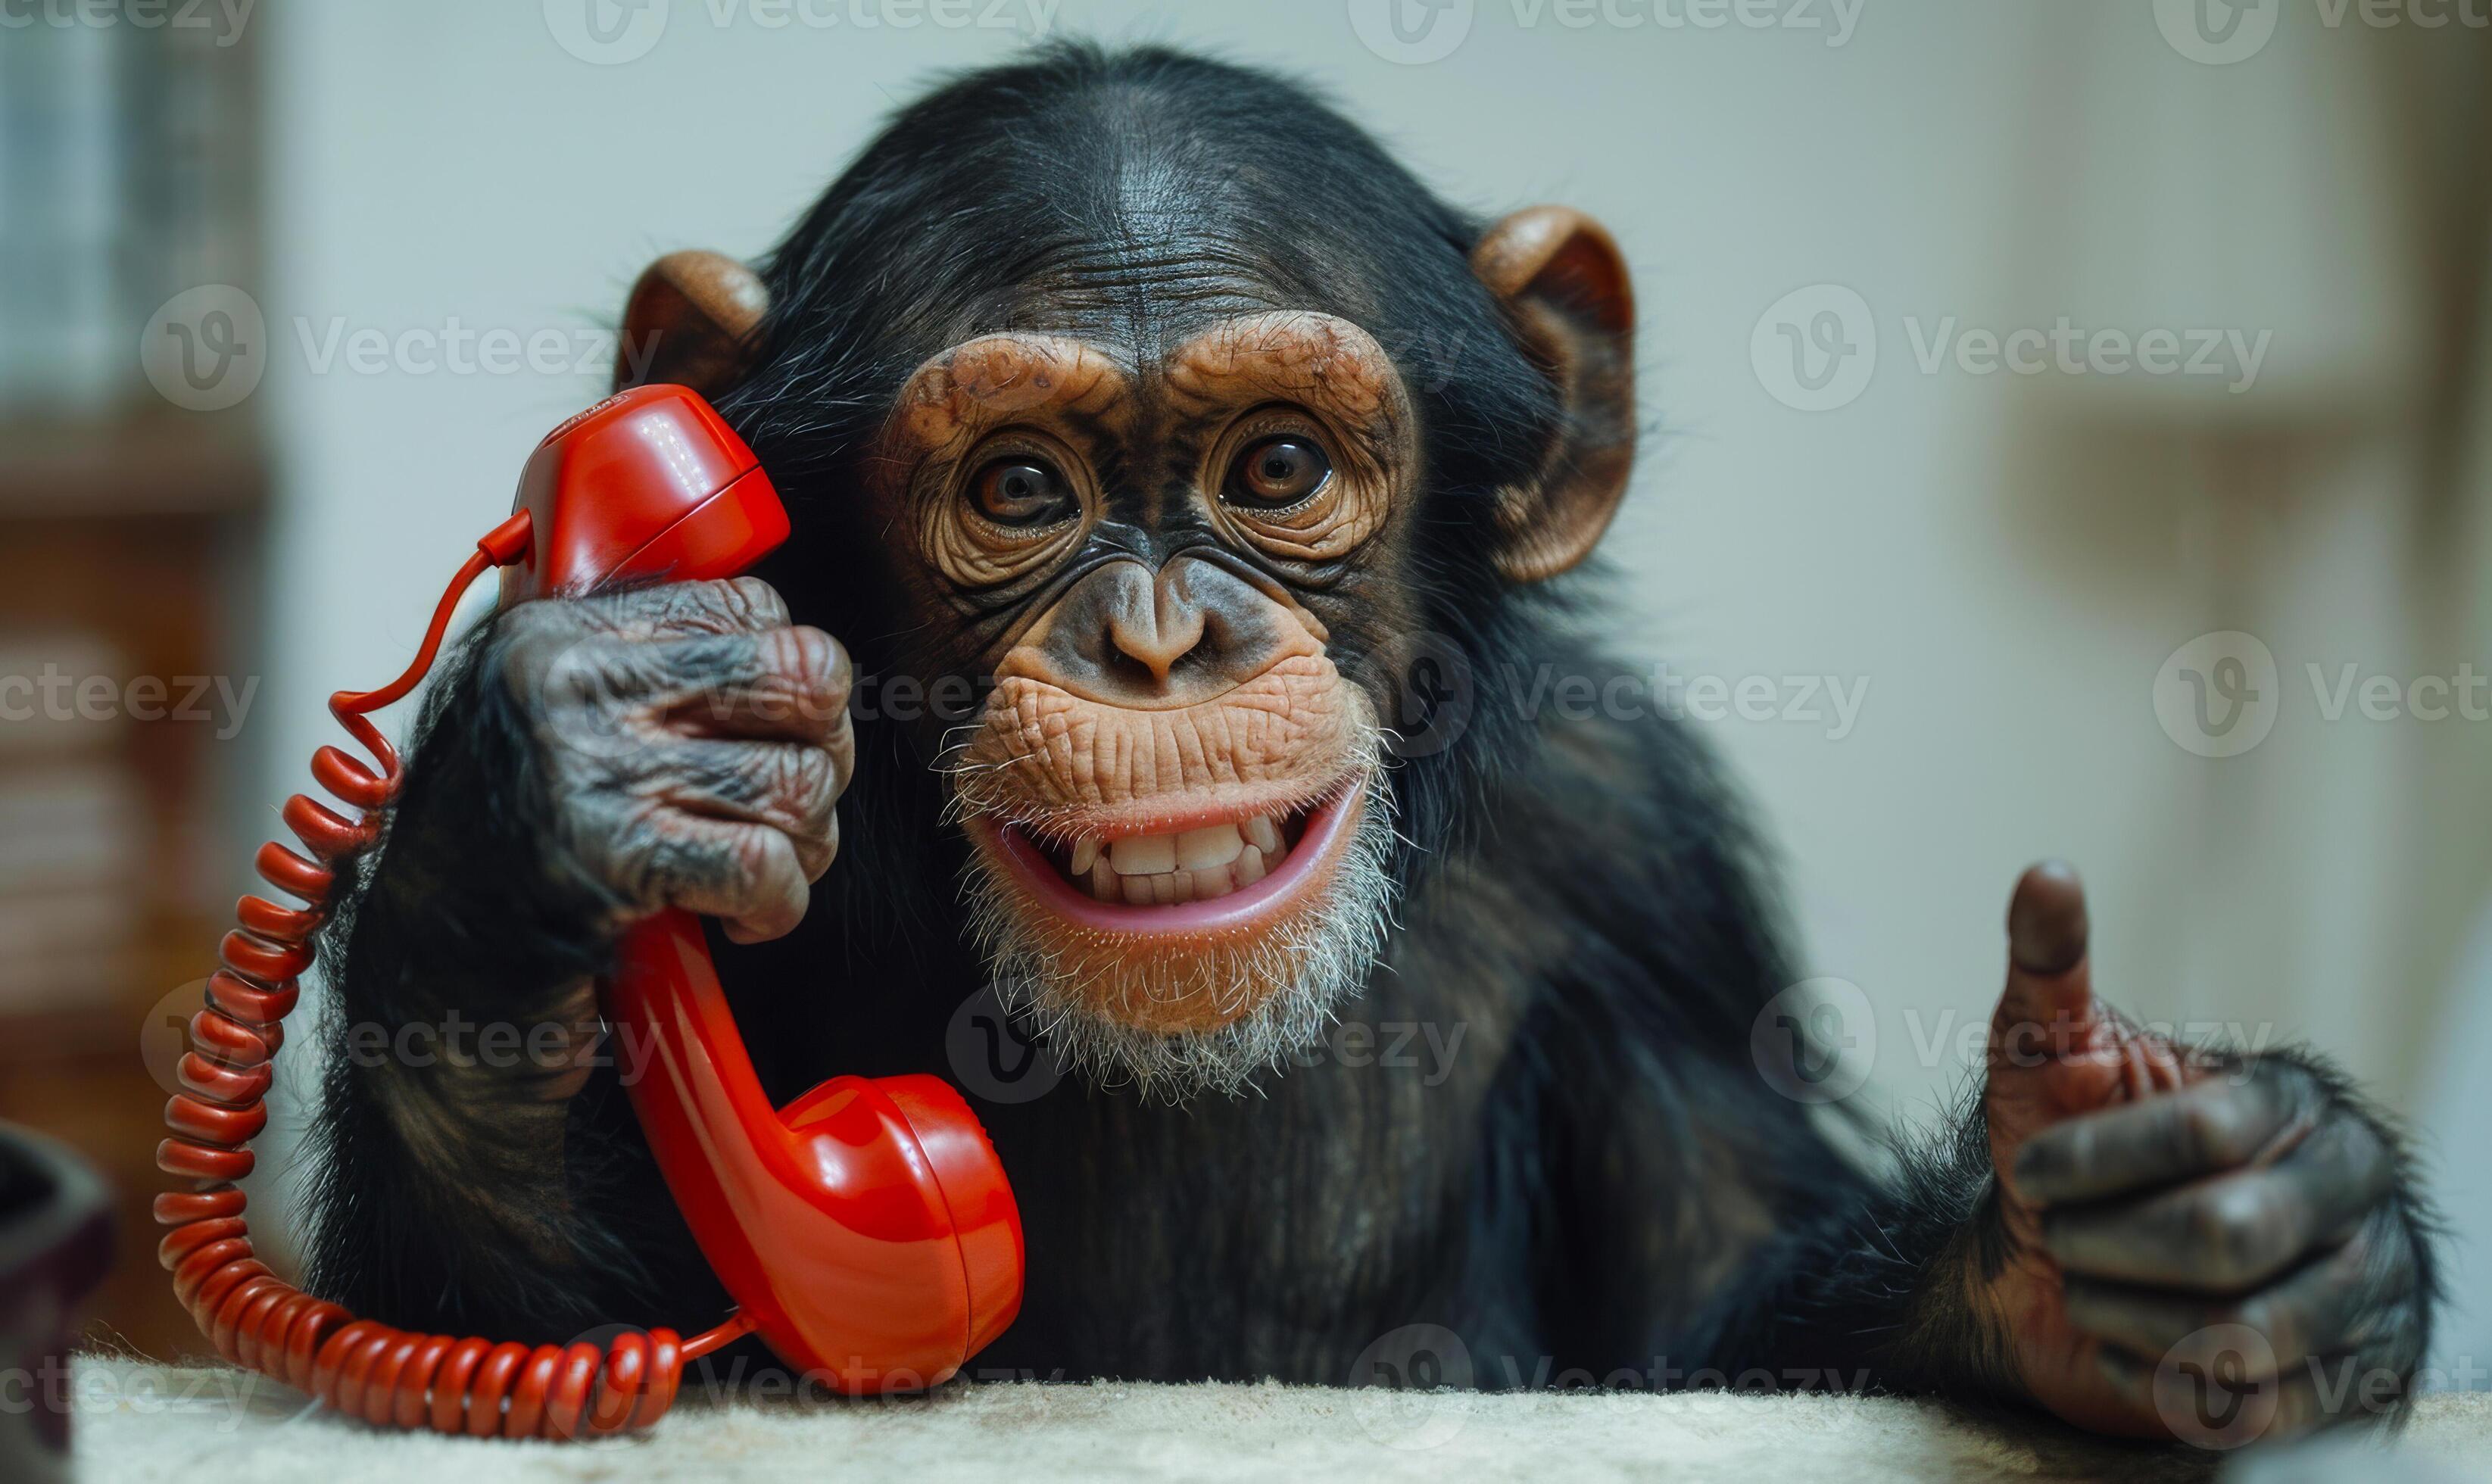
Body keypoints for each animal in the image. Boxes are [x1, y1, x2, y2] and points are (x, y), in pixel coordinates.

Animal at [303, 43, 2434, 1443]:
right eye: (1020, 488)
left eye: (1275, 468)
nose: (1159, 639)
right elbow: (519, 1320)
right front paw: (550, 800)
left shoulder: (1641, 859)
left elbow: (1722, 1306)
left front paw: (2149, 1251)